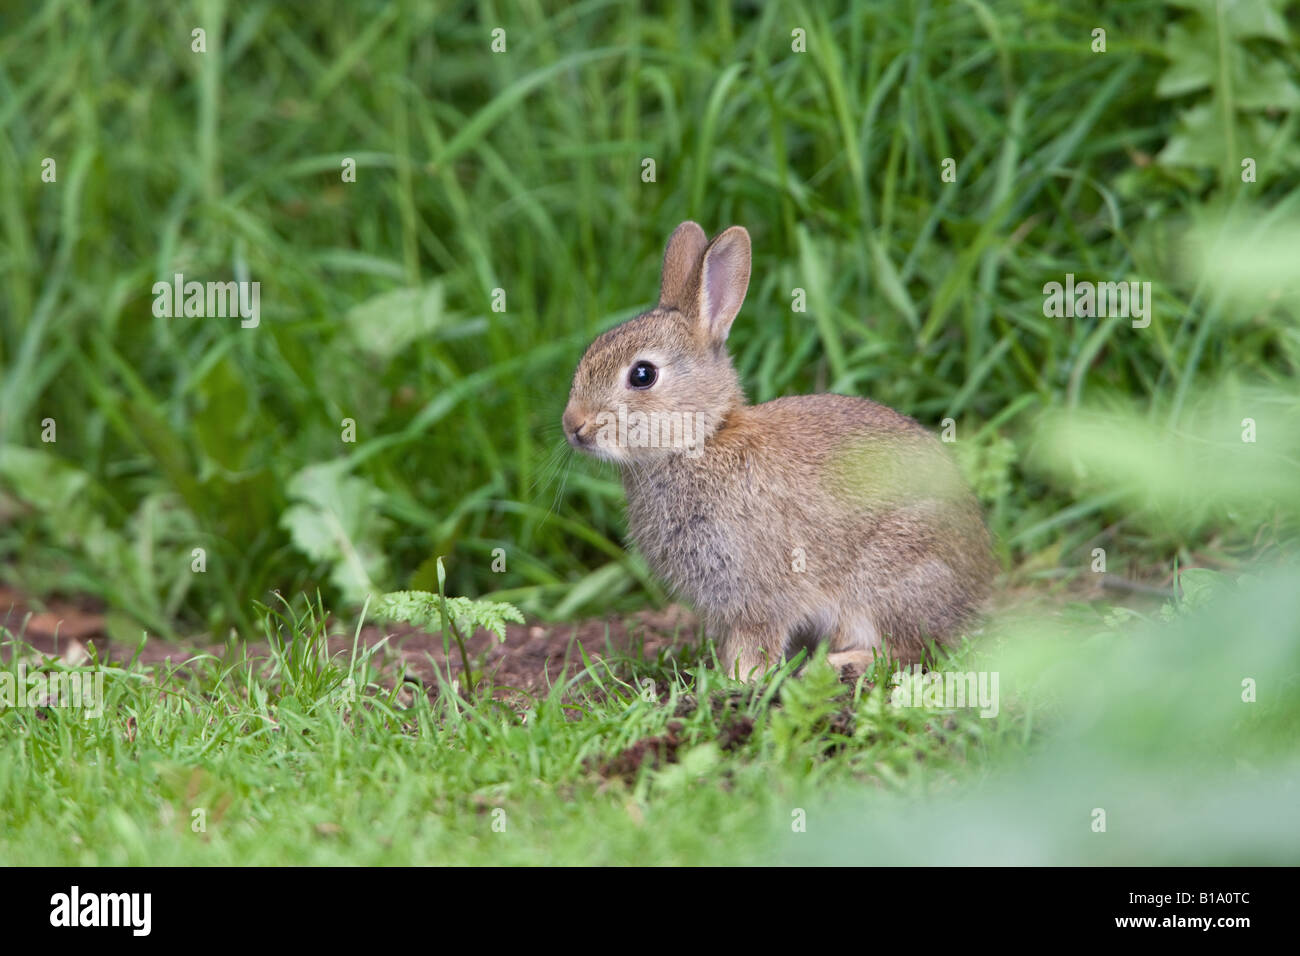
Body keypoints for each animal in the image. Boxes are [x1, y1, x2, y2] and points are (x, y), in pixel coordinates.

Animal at [562, 221, 997, 680]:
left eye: (642, 375)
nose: (573, 426)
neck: (702, 440)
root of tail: (977, 587)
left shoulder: (757, 593)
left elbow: (755, 641)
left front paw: (739, 681)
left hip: (894, 575)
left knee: (912, 651)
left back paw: (840, 663)